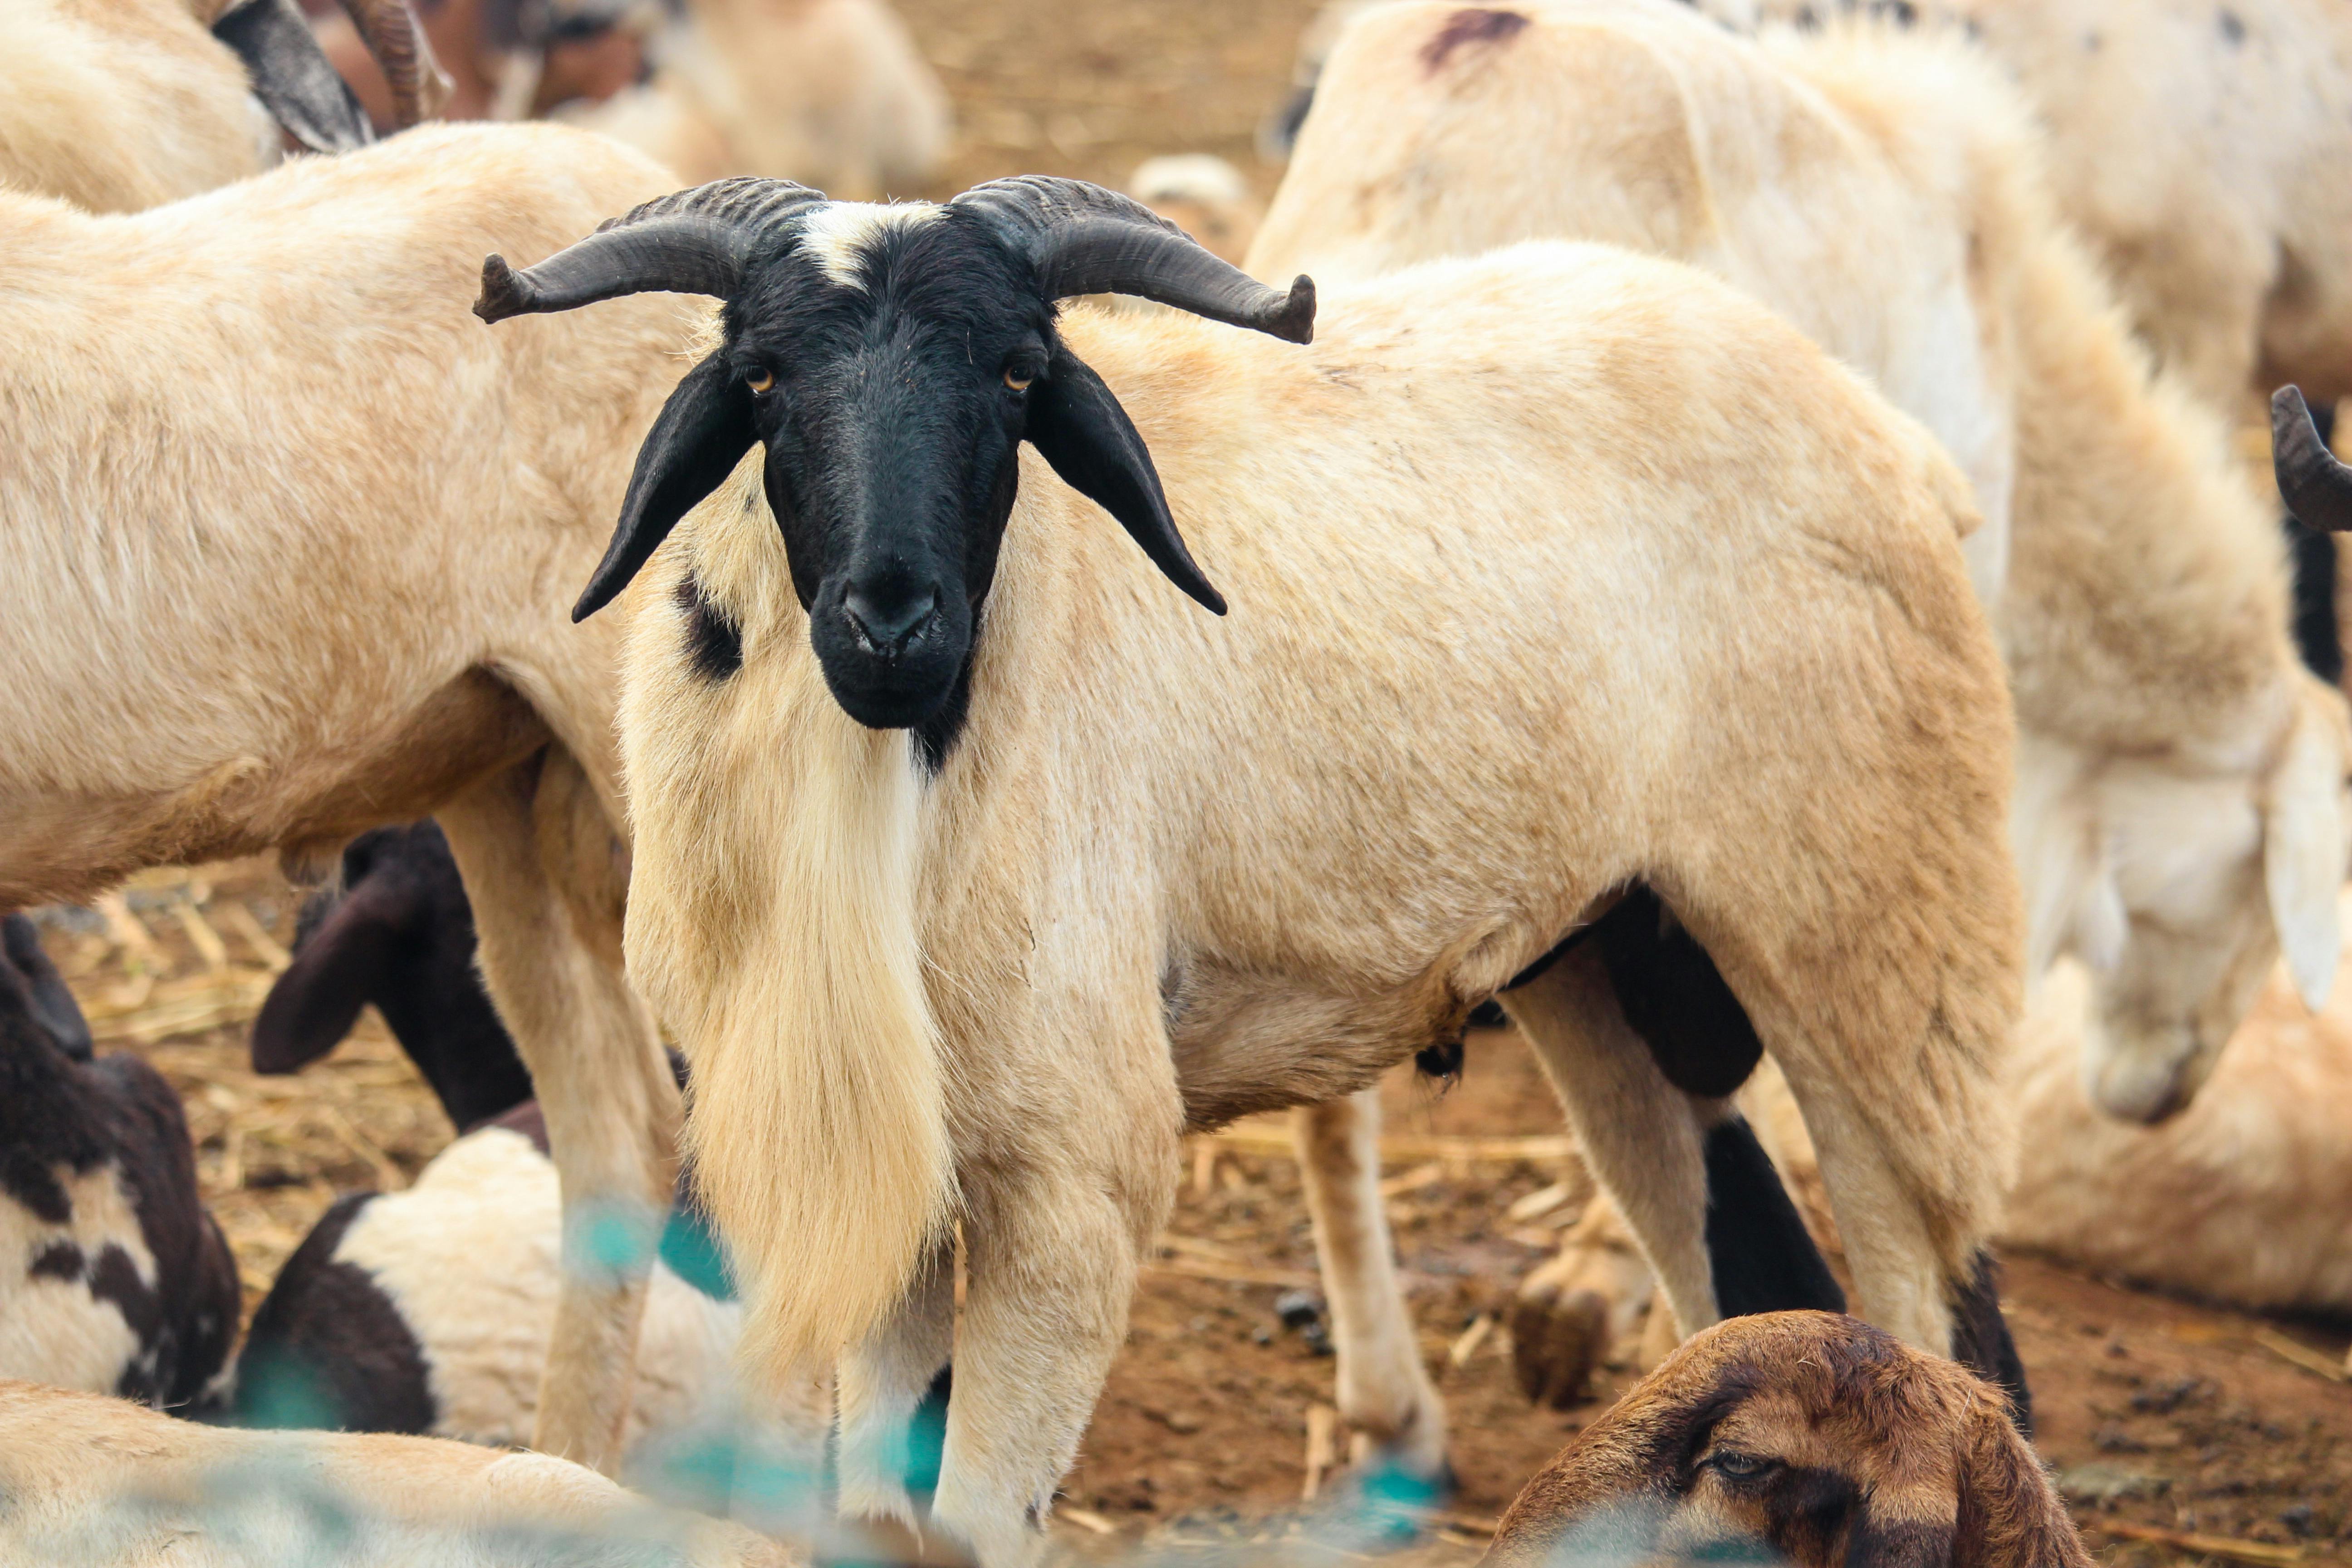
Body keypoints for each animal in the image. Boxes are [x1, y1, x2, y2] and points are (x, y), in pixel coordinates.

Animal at [477, 171, 2024, 1564]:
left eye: (1020, 373)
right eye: (760, 377)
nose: (893, 620)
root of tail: (1883, 428)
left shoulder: (1074, 1174)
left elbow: (970, 1531)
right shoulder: (893, 1161)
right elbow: (877, 1518)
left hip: (1880, 933)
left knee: (1943, 1326)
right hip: (1618, 960)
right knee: (1754, 1278)